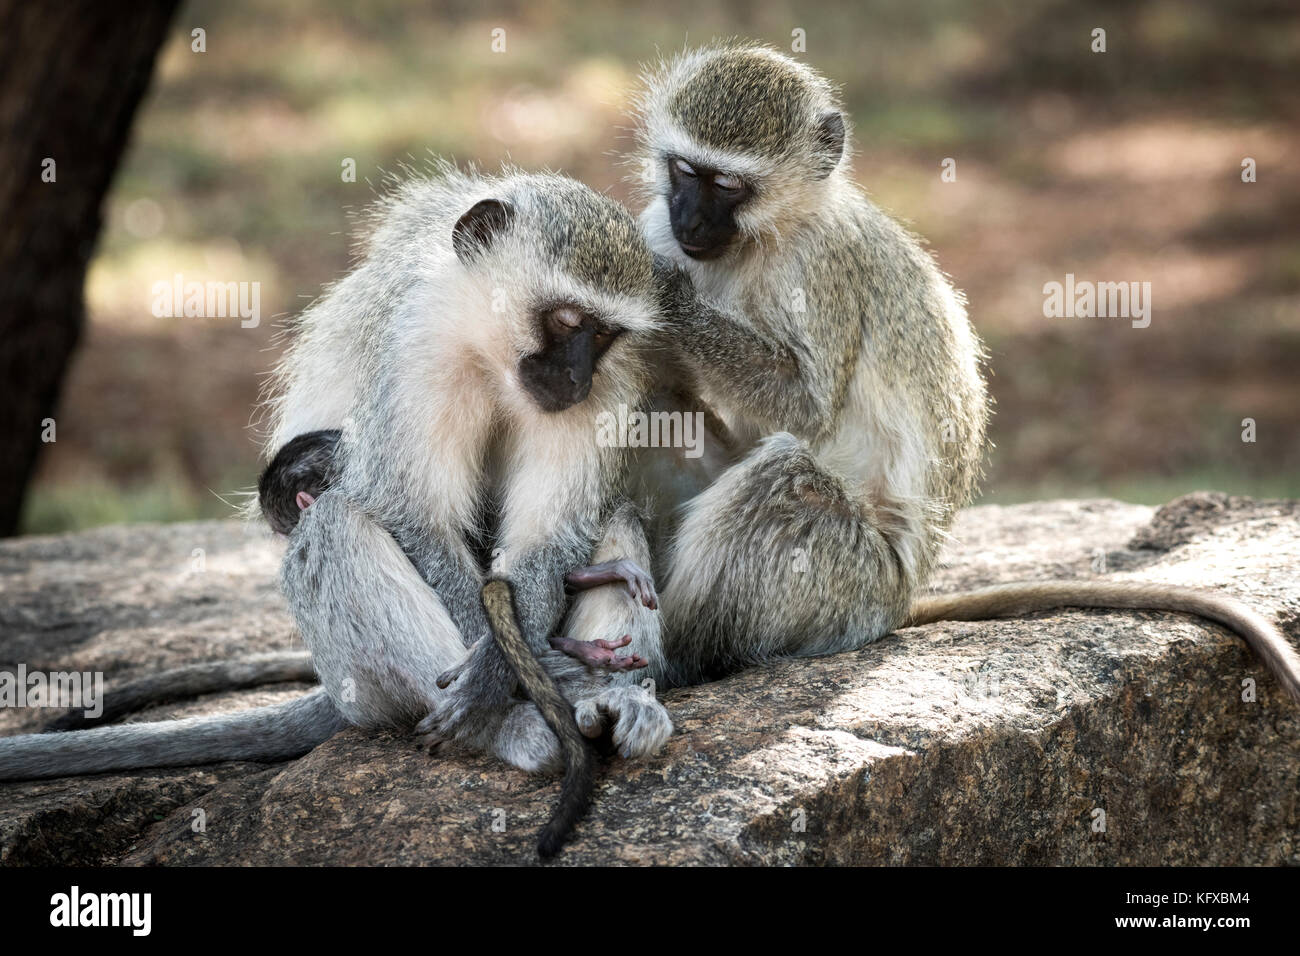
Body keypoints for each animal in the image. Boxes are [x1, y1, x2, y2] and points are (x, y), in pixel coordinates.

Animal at [0, 166, 674, 784]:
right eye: (566, 321)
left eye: (605, 333)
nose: (577, 379)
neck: (486, 350)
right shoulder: (417, 344)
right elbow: (411, 513)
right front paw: (519, 671)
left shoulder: (611, 385)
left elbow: (545, 537)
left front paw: (515, 667)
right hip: (354, 677)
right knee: (334, 524)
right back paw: (516, 725)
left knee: (613, 517)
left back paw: (612, 700)